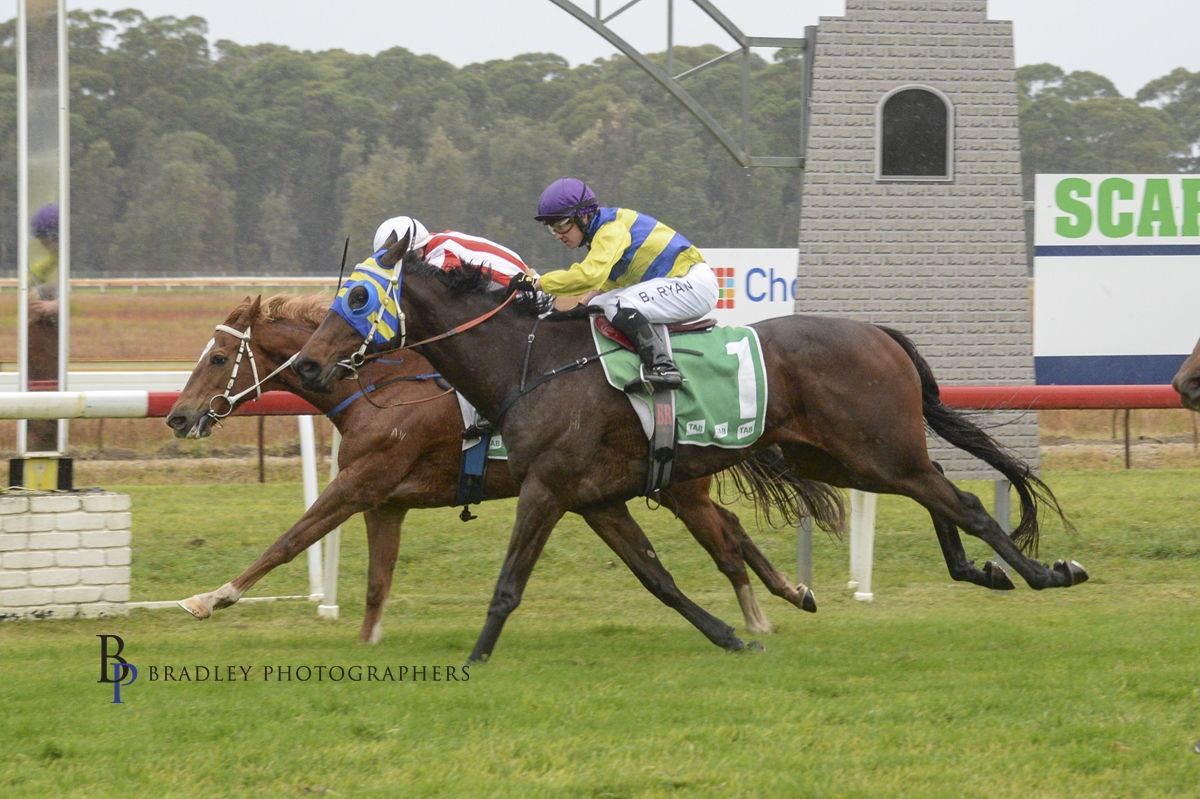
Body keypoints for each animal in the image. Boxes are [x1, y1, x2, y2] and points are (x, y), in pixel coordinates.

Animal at [166, 294, 829, 642]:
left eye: (219, 357)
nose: (178, 416)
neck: (377, 386)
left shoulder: (360, 484)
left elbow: (288, 541)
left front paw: (209, 598)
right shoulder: (386, 503)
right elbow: (378, 583)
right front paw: (368, 644)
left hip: (679, 485)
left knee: (724, 540)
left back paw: (760, 612)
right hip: (674, 485)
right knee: (732, 528)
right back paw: (789, 593)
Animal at [292, 232, 1088, 664]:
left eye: (356, 298)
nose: (305, 366)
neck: (528, 362)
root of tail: (875, 329)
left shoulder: (547, 488)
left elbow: (510, 583)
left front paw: (476, 655)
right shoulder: (596, 499)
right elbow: (659, 579)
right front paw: (734, 637)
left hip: (875, 450)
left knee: (964, 501)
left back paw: (1044, 571)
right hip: (843, 456)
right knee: (942, 494)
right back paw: (981, 570)